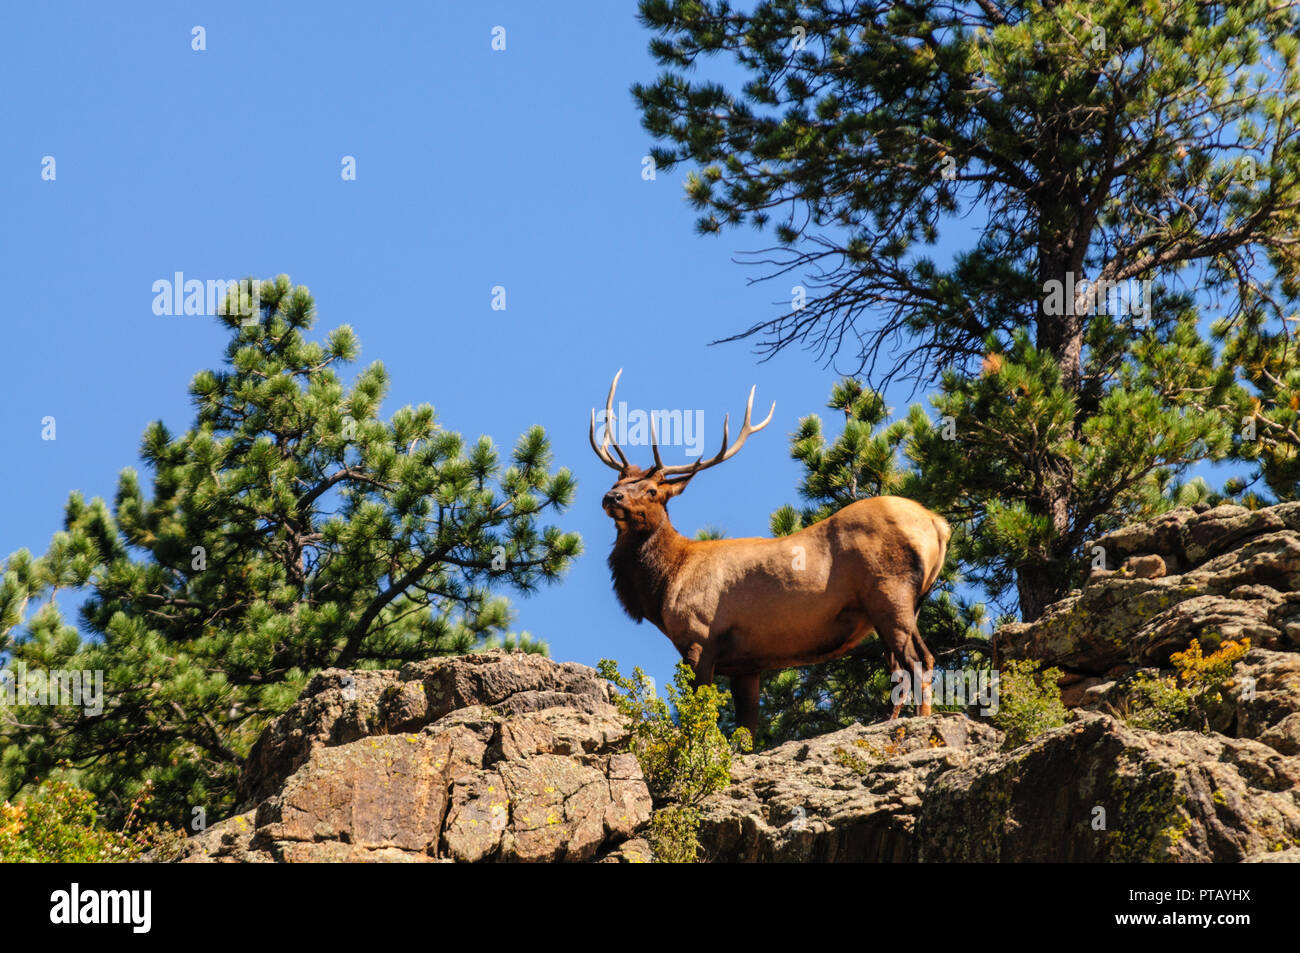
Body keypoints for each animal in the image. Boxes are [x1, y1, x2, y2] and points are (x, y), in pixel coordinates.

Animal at [590, 370, 952, 739]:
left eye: (651, 491)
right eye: (619, 479)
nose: (611, 497)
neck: (666, 583)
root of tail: (938, 525)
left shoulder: (699, 636)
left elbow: (702, 716)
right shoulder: (746, 663)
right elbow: (746, 730)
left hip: (889, 590)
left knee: (918, 659)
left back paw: (919, 722)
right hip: (908, 602)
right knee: (903, 663)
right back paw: (889, 720)